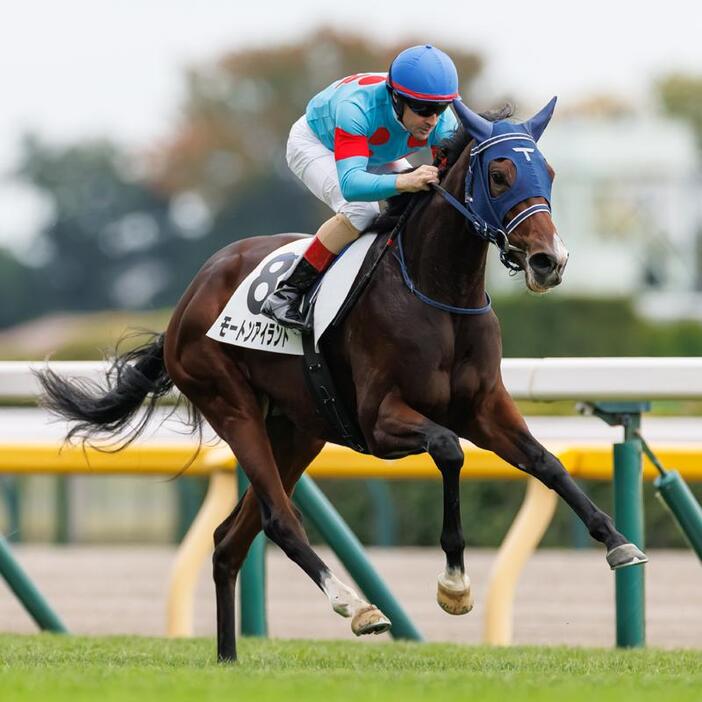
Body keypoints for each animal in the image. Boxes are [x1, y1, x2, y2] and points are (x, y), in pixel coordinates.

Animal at [38, 98, 647, 662]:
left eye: (548, 172)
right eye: (499, 175)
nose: (549, 260)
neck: (439, 293)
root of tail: (190, 297)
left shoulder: (485, 407)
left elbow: (547, 462)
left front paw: (619, 543)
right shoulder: (381, 422)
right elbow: (449, 450)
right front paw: (453, 583)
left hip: (298, 430)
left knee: (229, 540)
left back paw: (228, 657)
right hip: (232, 406)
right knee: (279, 520)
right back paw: (356, 606)